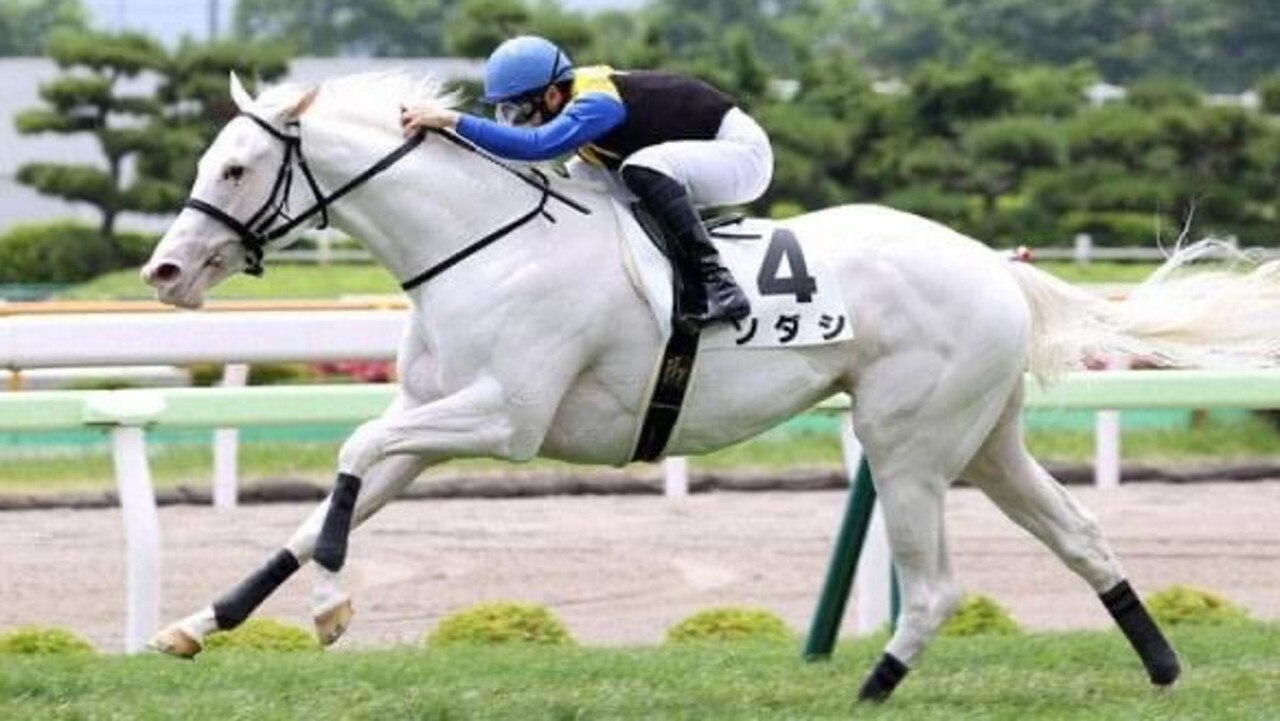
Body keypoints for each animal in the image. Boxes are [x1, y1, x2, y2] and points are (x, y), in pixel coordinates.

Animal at [140, 72, 1279, 702]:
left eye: (235, 169)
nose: (163, 270)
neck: (482, 243)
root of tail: (996, 264)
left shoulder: (503, 419)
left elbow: (345, 458)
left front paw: (331, 606)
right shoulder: (430, 419)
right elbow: (325, 507)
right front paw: (202, 622)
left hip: (909, 443)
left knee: (938, 586)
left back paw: (872, 685)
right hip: (985, 437)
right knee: (1081, 534)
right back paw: (1162, 665)